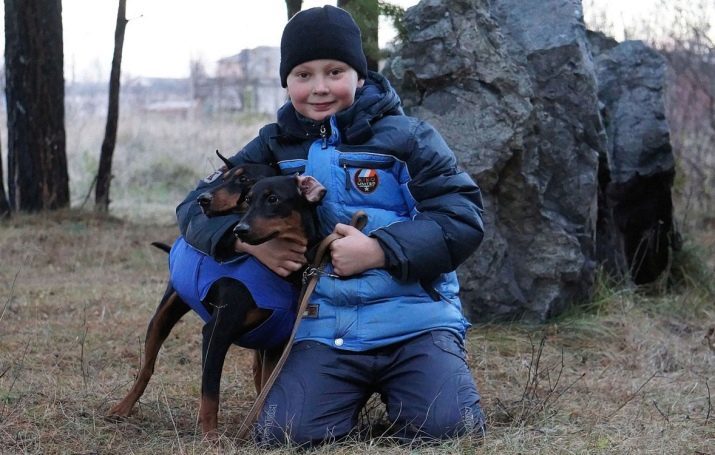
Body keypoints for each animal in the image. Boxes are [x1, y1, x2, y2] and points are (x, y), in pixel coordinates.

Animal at [107, 159, 328, 438]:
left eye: (273, 199)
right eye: (249, 199)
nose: (239, 229)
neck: (276, 272)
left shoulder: (277, 342)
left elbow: (267, 389)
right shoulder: (216, 333)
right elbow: (210, 392)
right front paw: (211, 437)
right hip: (163, 316)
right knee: (146, 368)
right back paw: (122, 408)